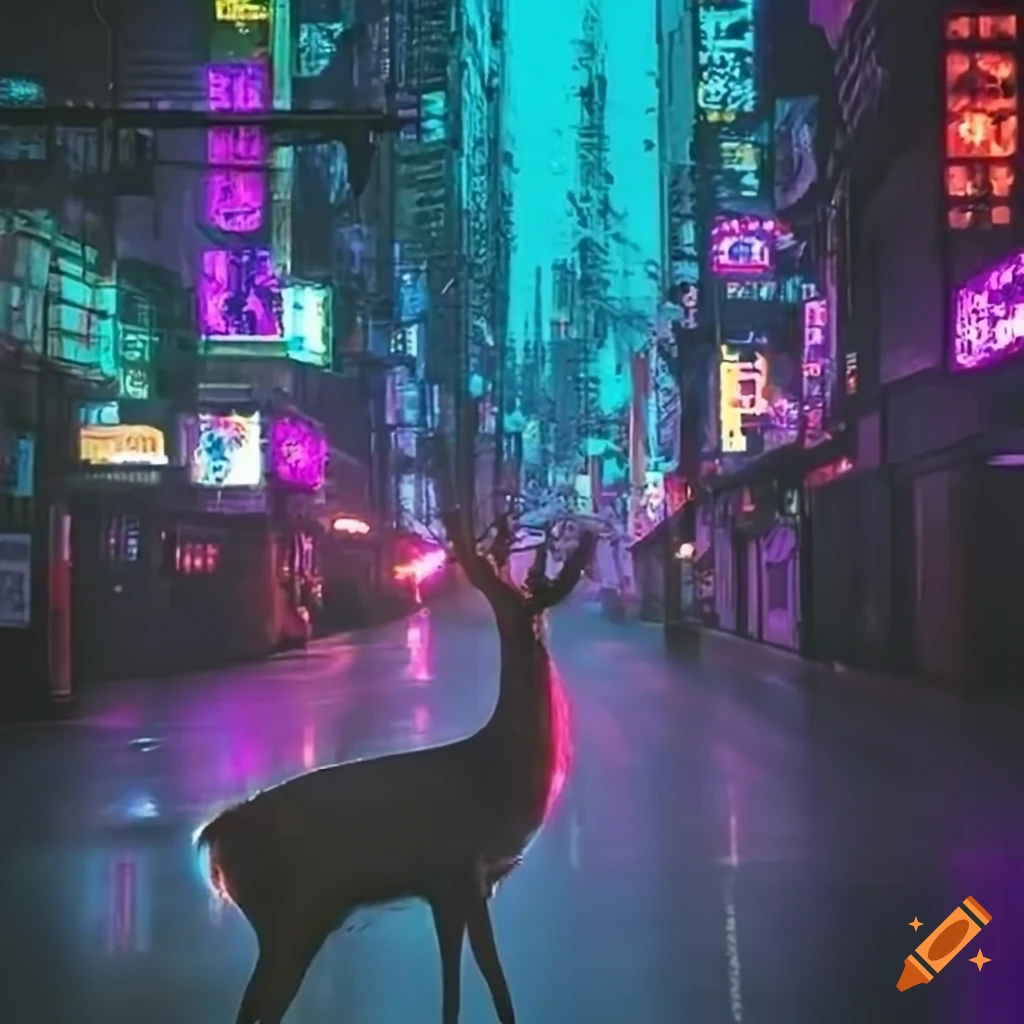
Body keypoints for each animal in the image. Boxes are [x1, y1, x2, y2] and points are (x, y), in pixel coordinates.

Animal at [193, 441, 596, 1024]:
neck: (498, 774)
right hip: (292, 914)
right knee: (255, 1006)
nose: (532, 634)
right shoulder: (458, 869)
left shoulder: (458, 887)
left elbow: (462, 987)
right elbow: (489, 983)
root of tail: (215, 838)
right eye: (507, 614)